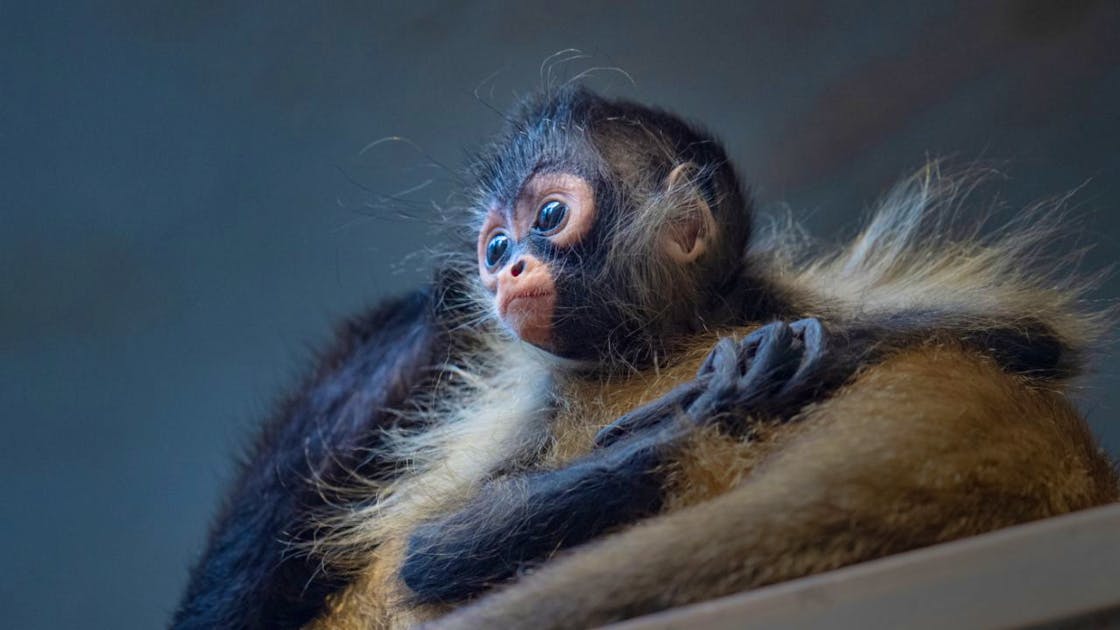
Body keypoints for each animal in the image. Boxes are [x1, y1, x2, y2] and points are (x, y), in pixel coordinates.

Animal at [173, 86, 1117, 630]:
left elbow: (1025, 339)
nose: (507, 270)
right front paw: (687, 418)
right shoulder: (536, 391)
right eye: (496, 246)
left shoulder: (760, 289)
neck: (647, 340)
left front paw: (780, 362)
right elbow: (436, 547)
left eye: (549, 218)